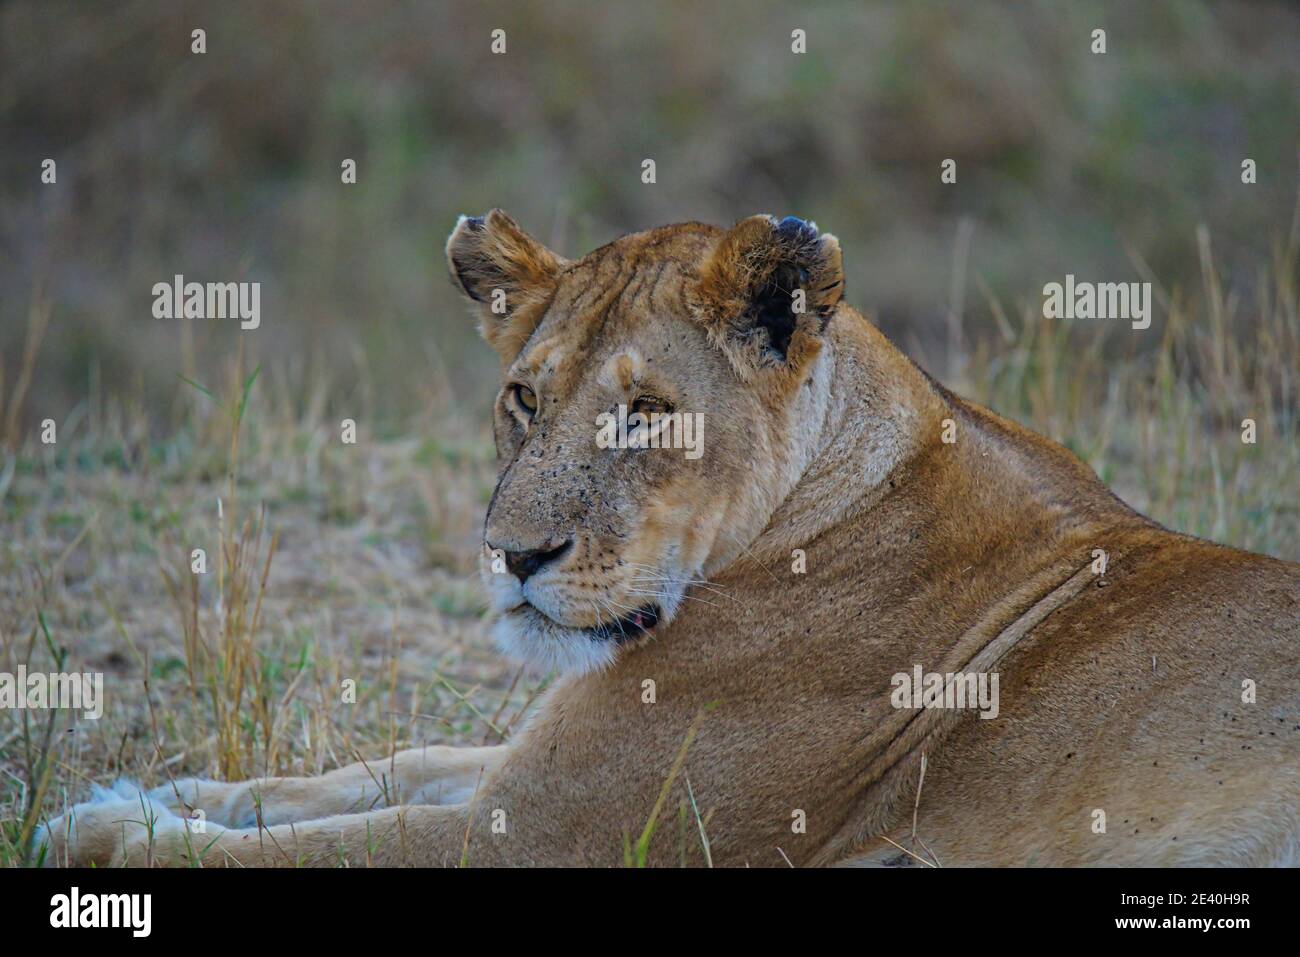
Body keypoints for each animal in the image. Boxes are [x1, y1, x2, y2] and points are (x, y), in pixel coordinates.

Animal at [41, 211, 1298, 867]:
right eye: (524, 398)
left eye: (646, 412)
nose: (511, 557)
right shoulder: (537, 765)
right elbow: (363, 772)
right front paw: (149, 793)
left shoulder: (553, 837)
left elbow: (311, 848)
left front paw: (103, 838)